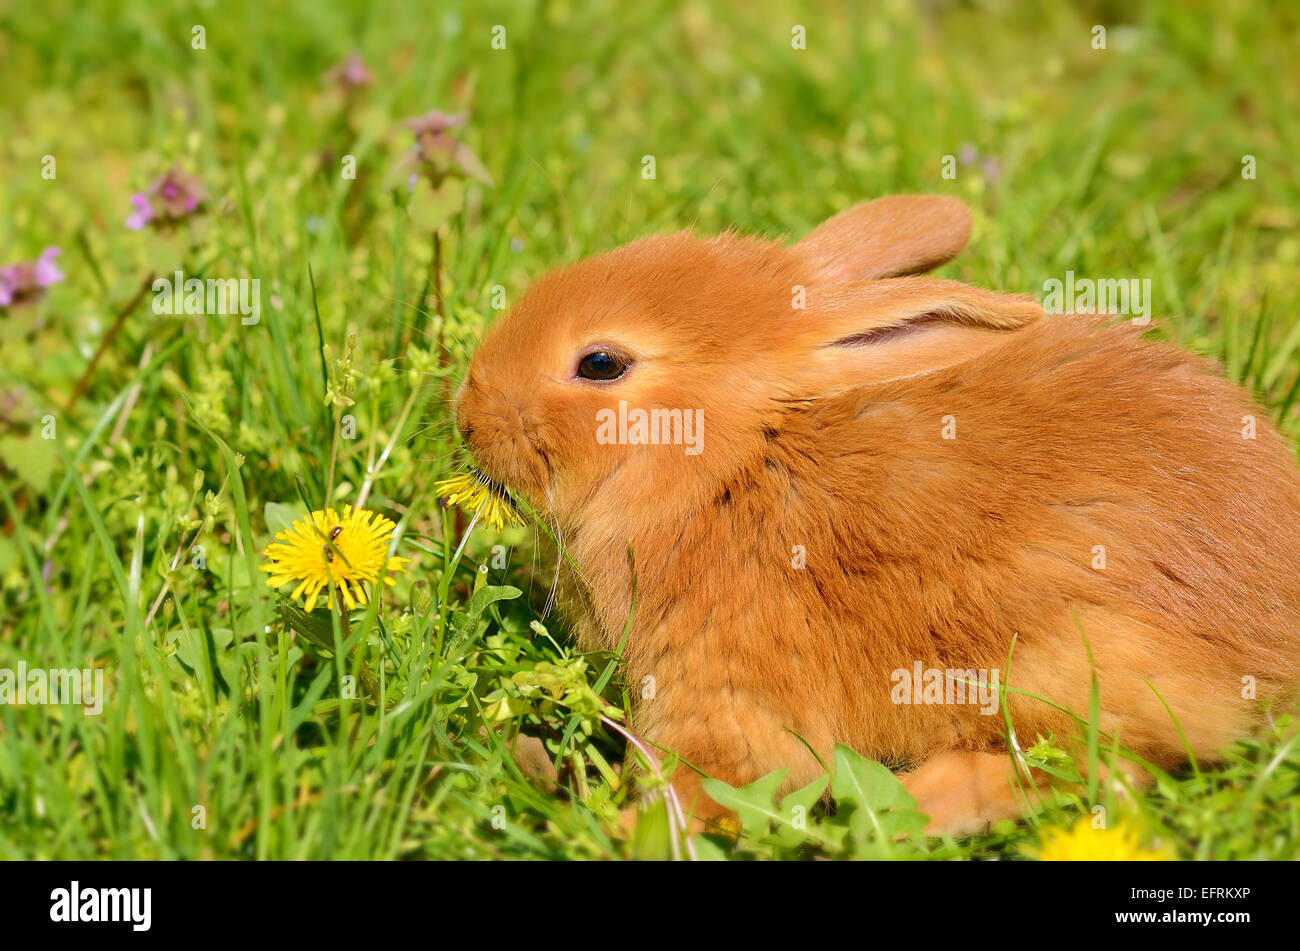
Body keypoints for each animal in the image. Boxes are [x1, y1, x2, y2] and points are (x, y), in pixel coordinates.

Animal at [454, 195, 1300, 836]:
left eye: (601, 364)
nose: (465, 414)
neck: (731, 463)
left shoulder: (728, 675)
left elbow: (722, 773)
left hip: (1064, 662)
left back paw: (926, 803)